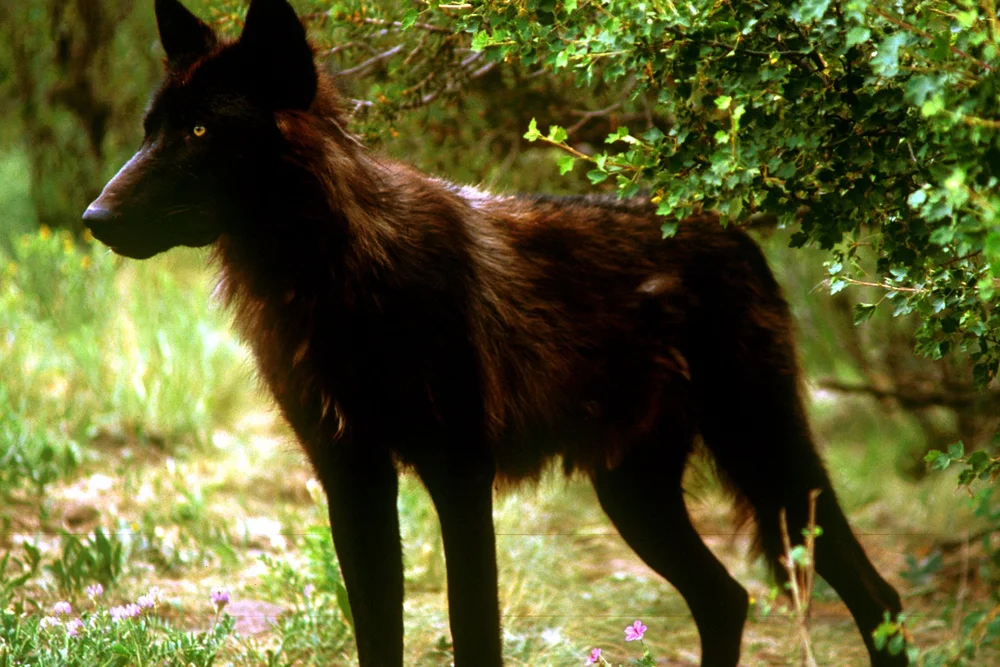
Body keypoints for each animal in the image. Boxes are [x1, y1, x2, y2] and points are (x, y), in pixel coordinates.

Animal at [82, 1, 907, 665]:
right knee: (727, 598)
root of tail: (730, 228)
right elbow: (379, 636)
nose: (94, 217)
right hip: (635, 495)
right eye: (151, 130)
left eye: (199, 129)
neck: (332, 279)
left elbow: (474, 631)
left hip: (771, 465)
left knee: (877, 597)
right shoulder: (353, 482)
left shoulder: (458, 477)